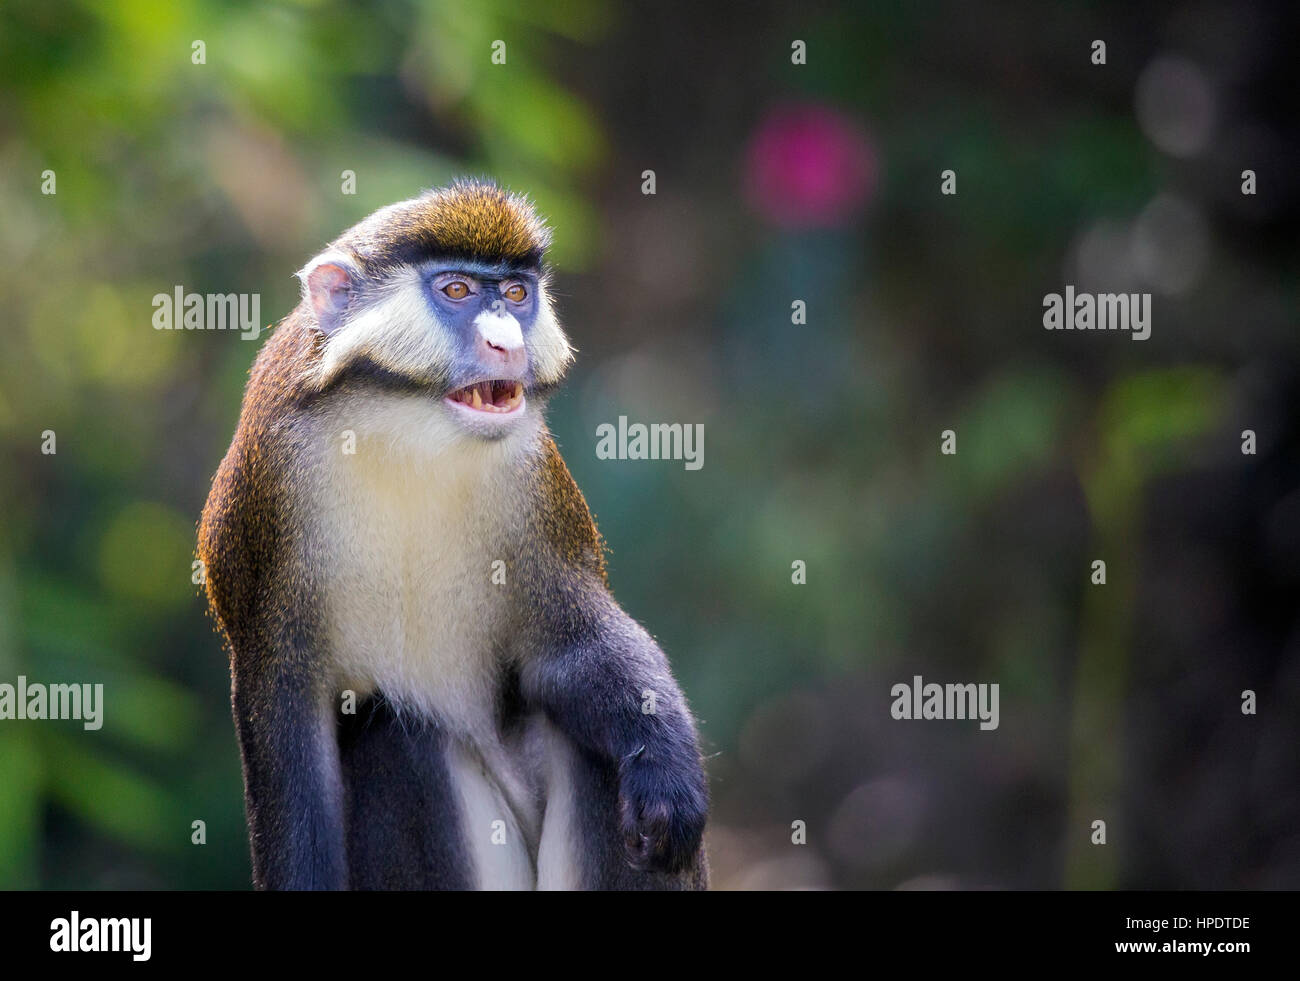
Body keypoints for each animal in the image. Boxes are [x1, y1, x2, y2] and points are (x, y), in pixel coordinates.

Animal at [197, 179, 708, 890]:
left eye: (516, 294)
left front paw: (665, 766)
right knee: (395, 737)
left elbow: (571, 647)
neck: (401, 432)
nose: (506, 343)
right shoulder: (266, 506)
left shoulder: (534, 487)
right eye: (458, 290)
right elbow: (290, 740)